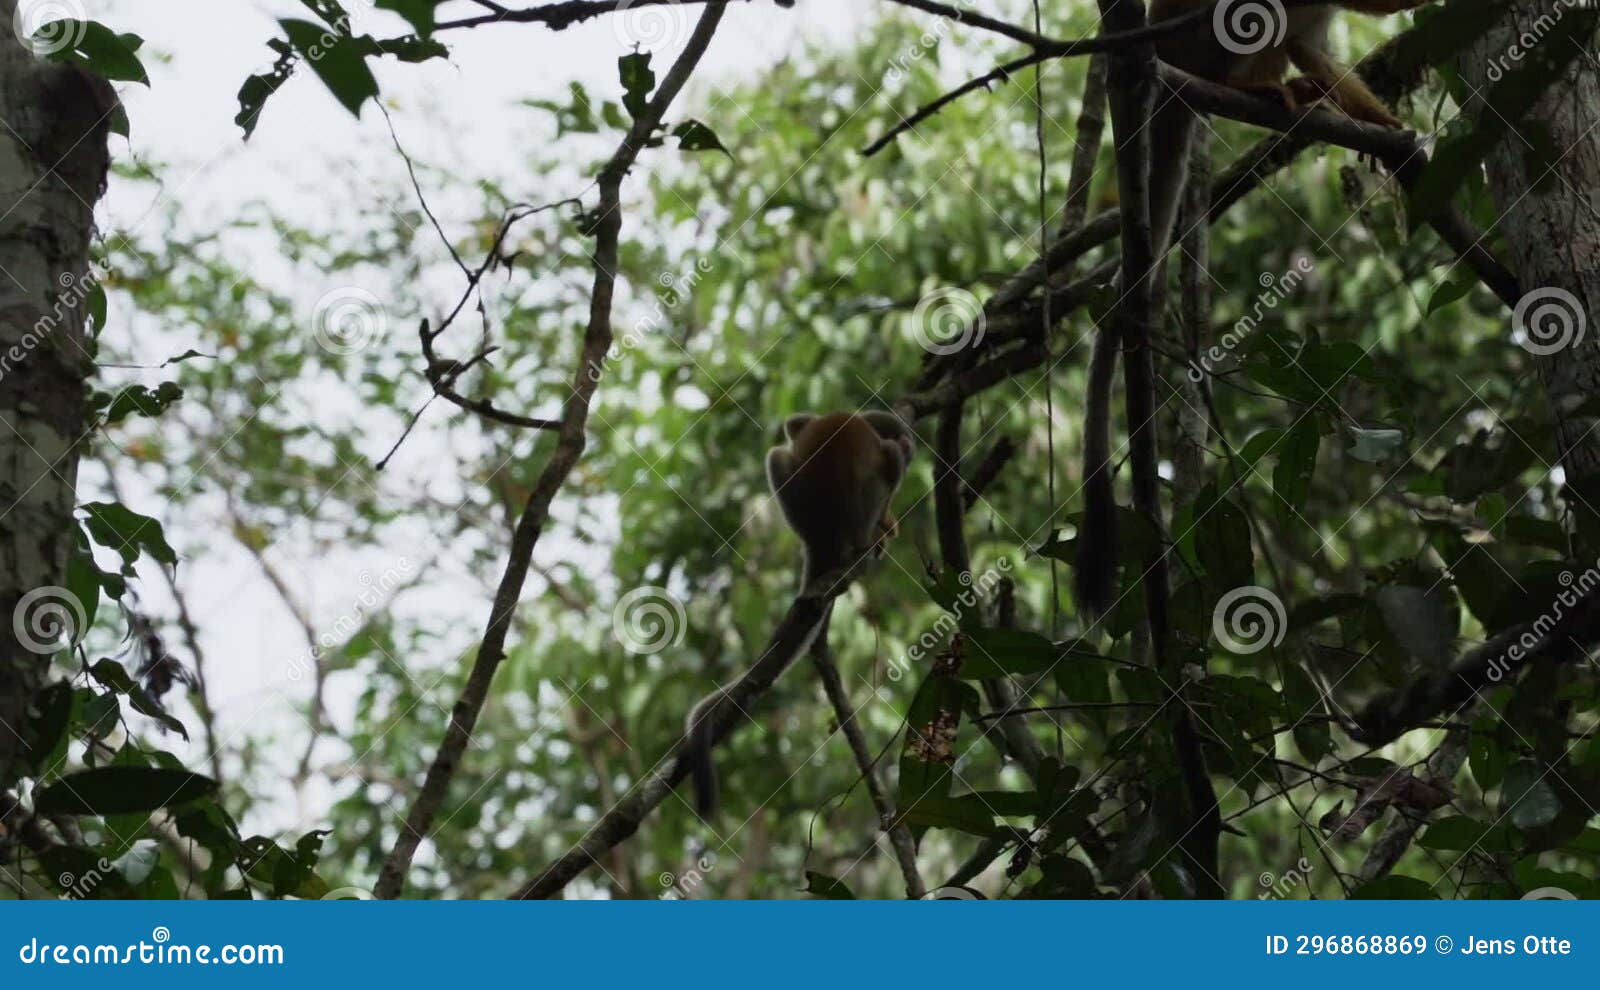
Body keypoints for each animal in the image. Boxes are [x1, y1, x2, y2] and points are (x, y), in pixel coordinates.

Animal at [683, 410, 916, 816]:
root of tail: (825, 538)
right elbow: (892, 456)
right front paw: (888, 520)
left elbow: (794, 425)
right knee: (888, 461)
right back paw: (869, 535)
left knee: (778, 456)